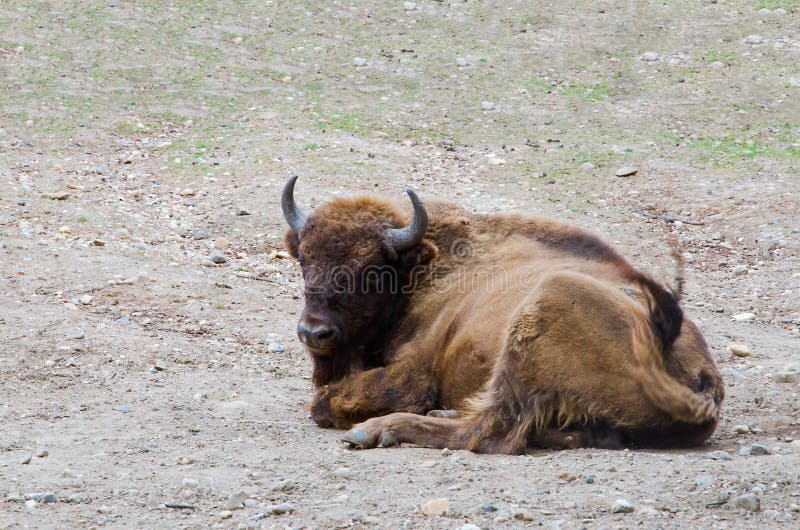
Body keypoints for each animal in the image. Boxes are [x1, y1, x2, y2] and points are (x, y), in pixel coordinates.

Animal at [281, 176, 724, 454]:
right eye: (304, 258)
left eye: (372, 269)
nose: (313, 332)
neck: (423, 266)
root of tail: (704, 381)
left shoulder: (412, 375)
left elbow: (325, 403)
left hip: (543, 309)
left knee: (488, 433)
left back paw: (377, 430)